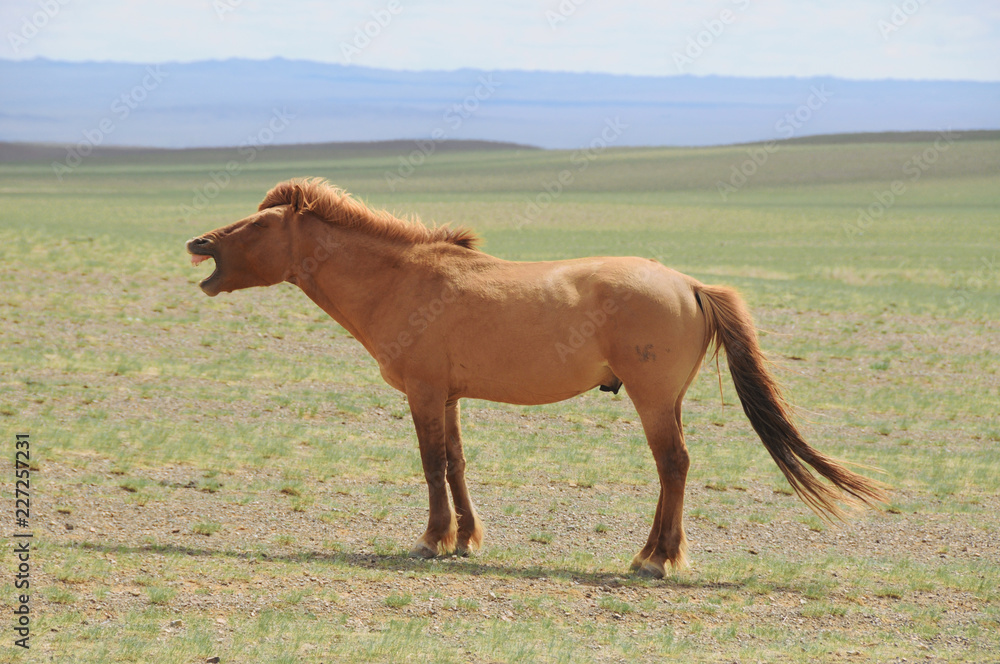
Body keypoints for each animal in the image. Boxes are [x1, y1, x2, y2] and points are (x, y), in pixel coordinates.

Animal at [186, 177, 886, 578]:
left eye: (257, 224)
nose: (198, 241)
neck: (401, 279)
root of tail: (688, 284)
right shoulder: (449, 396)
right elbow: (457, 464)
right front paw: (466, 540)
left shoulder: (423, 394)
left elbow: (431, 465)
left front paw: (432, 540)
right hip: (668, 400)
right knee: (674, 467)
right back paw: (655, 554)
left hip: (652, 400)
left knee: (673, 465)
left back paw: (654, 559)